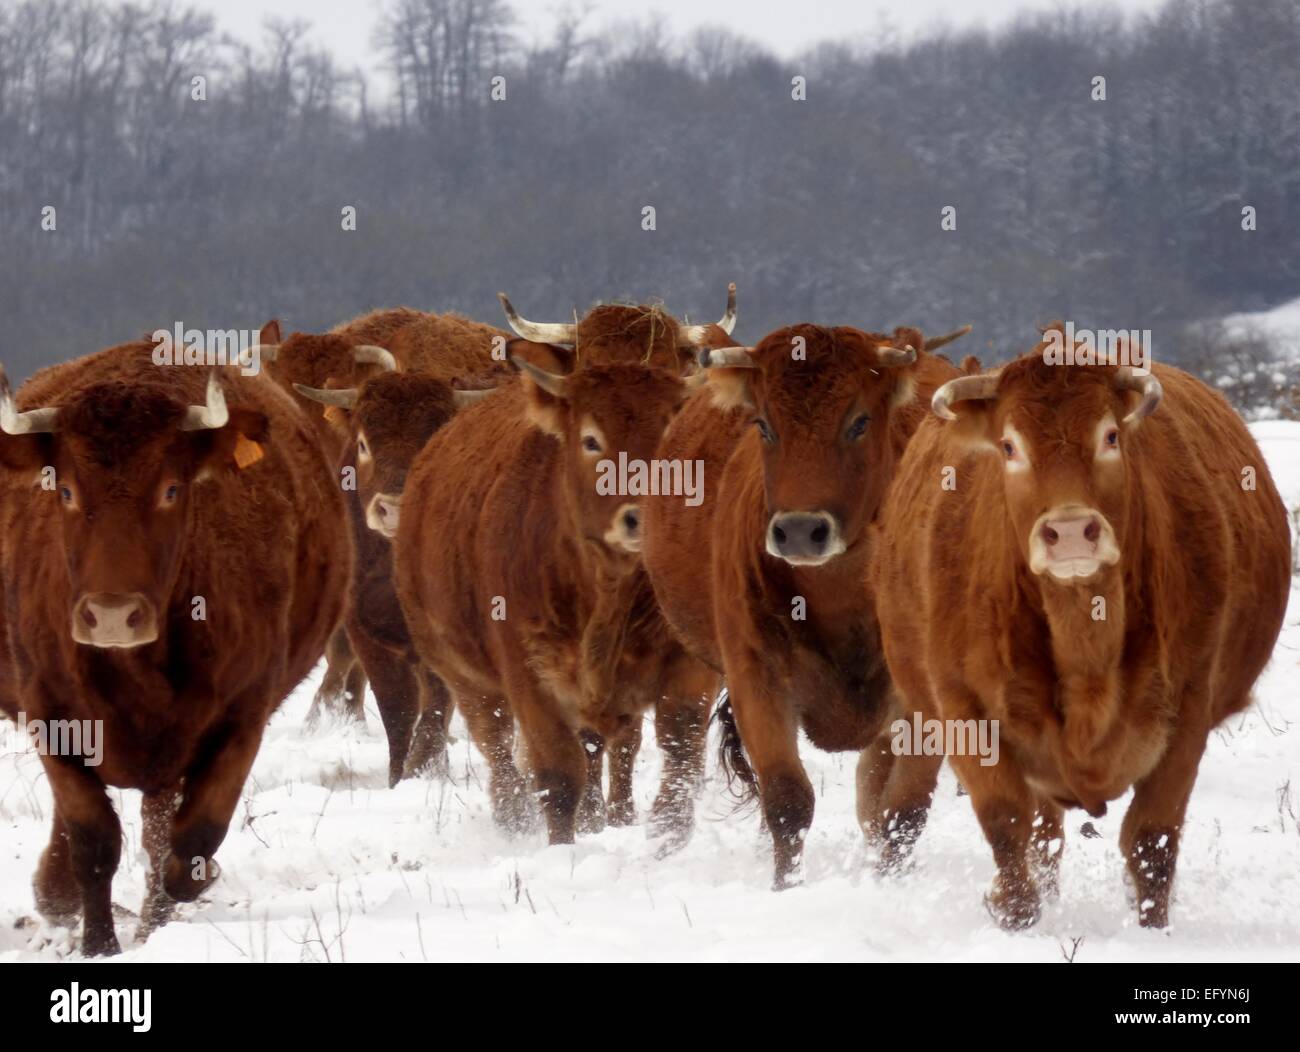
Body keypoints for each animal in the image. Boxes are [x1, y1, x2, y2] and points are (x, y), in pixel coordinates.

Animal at [0, 340, 350, 955]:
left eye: (170, 489)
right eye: (65, 490)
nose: (112, 614)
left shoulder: (241, 717)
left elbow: (191, 842)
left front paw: (173, 902)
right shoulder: (52, 715)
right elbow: (93, 840)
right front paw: (99, 944)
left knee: (162, 828)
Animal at [393, 293, 734, 846]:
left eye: (671, 437)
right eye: (591, 440)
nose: (643, 513)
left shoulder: (687, 662)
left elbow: (679, 749)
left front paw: (666, 835)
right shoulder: (528, 675)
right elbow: (557, 770)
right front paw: (560, 844)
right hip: (464, 675)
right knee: (499, 747)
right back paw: (516, 820)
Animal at [642, 322, 969, 886]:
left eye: (859, 421)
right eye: (764, 424)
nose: (799, 529)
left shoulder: (922, 701)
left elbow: (903, 811)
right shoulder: (756, 675)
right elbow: (788, 801)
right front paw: (784, 888)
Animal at [865, 326, 1291, 929]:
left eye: (1110, 436)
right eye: (1009, 446)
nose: (1068, 531)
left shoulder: (1190, 707)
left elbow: (1152, 839)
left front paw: (1152, 929)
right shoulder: (962, 707)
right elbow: (1006, 825)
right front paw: (1017, 918)